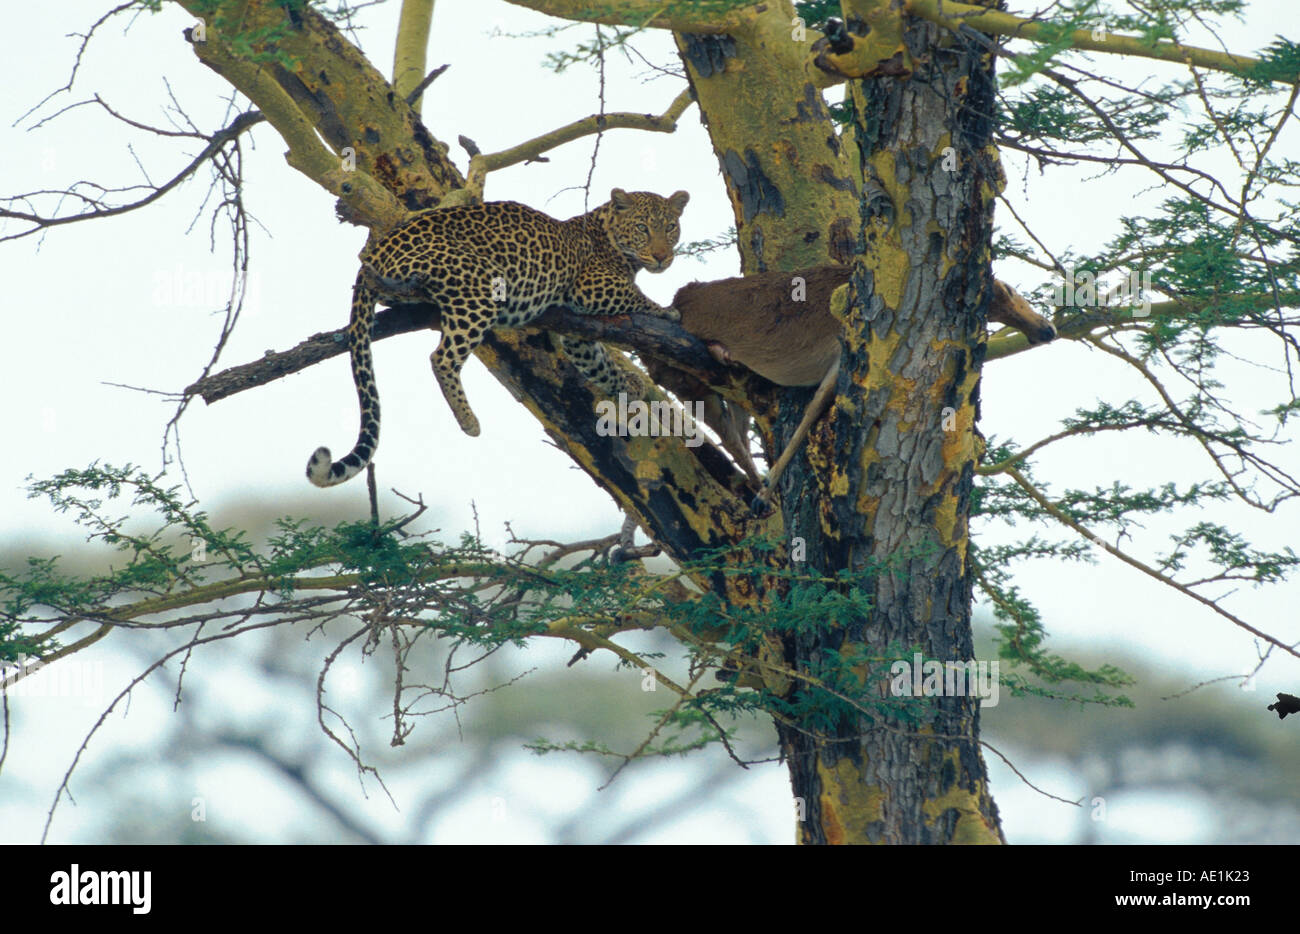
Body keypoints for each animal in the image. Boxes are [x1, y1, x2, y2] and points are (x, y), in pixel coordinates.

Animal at [307, 188, 689, 487]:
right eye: (642, 228)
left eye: (670, 228)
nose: (662, 257)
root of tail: (374, 252)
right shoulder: (592, 286)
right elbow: (636, 296)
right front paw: (667, 311)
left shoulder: (578, 338)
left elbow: (600, 363)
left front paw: (628, 385)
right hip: (479, 284)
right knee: (441, 358)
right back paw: (468, 420)